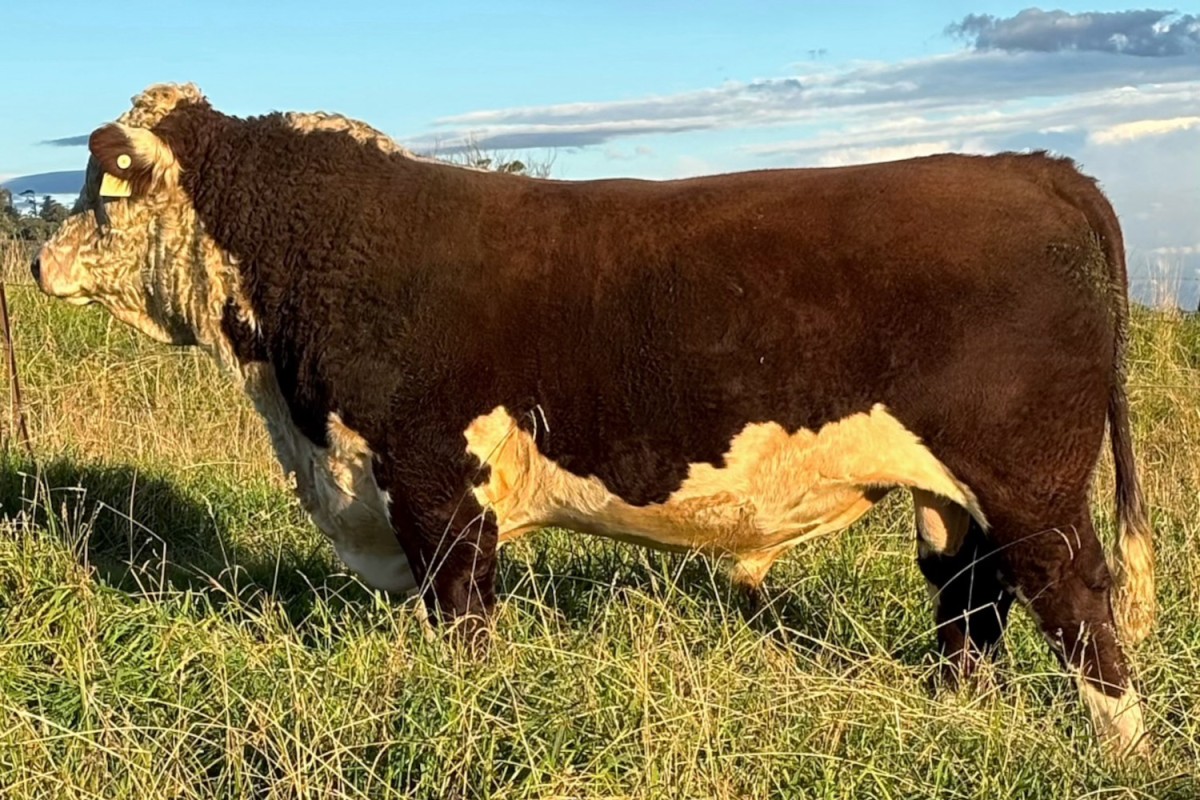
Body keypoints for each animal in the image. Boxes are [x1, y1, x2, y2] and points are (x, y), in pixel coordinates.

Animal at [33, 83, 1155, 758]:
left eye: (99, 188)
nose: (36, 261)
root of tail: (1034, 165)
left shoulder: (433, 483)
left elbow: (463, 617)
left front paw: (468, 713)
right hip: (955, 495)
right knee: (971, 598)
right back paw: (954, 712)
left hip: (1032, 484)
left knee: (1077, 602)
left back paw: (1119, 748)